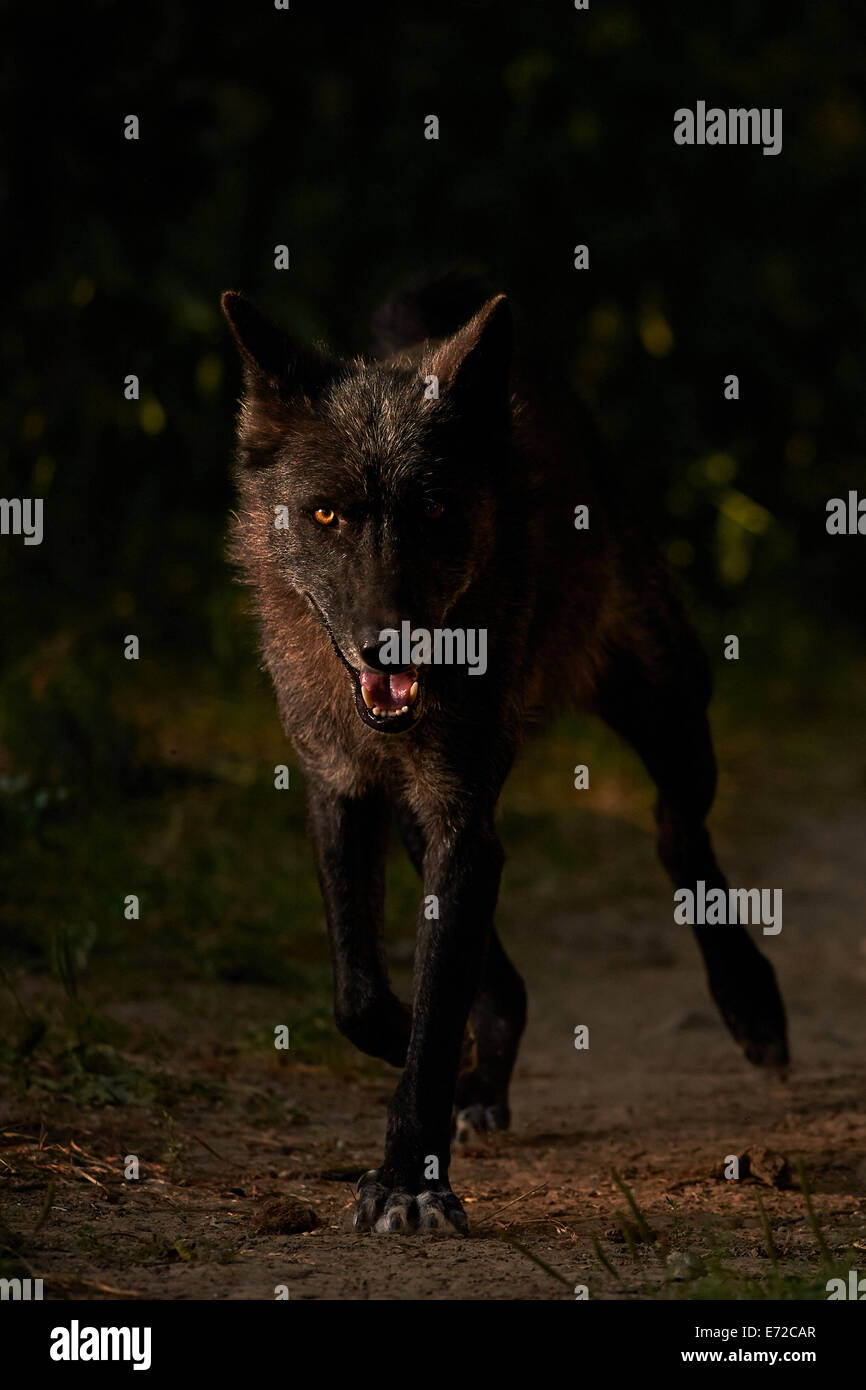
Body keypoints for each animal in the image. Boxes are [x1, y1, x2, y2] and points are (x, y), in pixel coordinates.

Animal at [221, 273, 788, 1234]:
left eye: (434, 510)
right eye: (326, 513)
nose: (388, 644)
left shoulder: (460, 817)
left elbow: (433, 1010)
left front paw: (407, 1178)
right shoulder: (343, 789)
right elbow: (361, 995)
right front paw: (433, 1077)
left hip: (667, 704)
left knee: (678, 830)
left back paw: (750, 1003)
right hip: (431, 809)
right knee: (507, 975)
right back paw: (484, 1079)